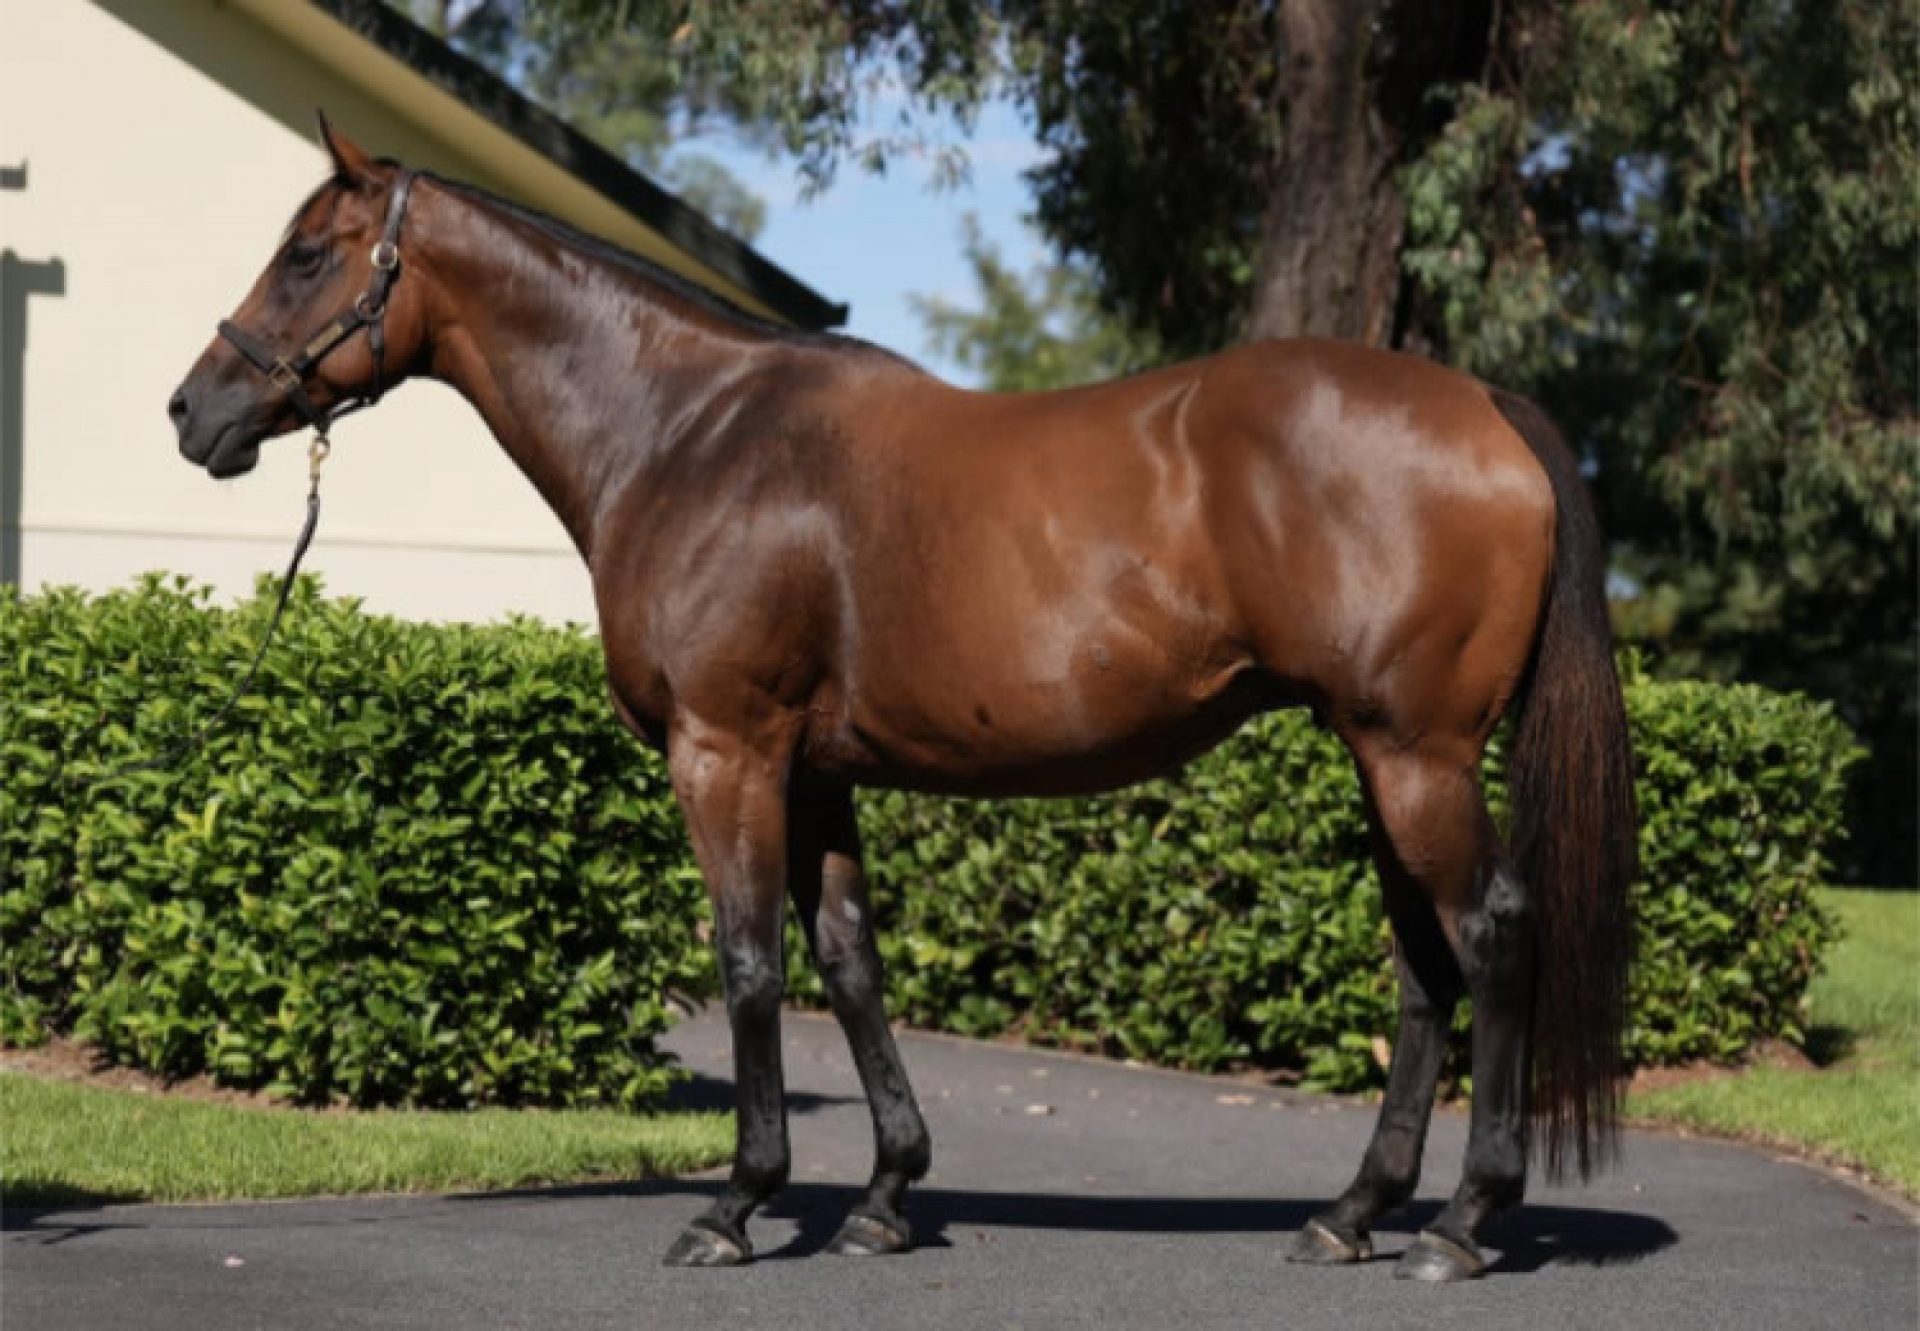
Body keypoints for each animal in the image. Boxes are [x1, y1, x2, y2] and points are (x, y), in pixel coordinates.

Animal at [168, 117, 1635, 1283]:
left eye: (308, 254)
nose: (194, 411)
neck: (688, 433)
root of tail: (1489, 406)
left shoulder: (727, 749)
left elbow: (751, 959)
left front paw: (735, 1203)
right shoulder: (818, 767)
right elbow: (850, 961)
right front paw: (883, 1195)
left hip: (1416, 754)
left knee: (1490, 935)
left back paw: (1461, 1222)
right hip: (1380, 756)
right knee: (1422, 969)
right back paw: (1352, 1211)